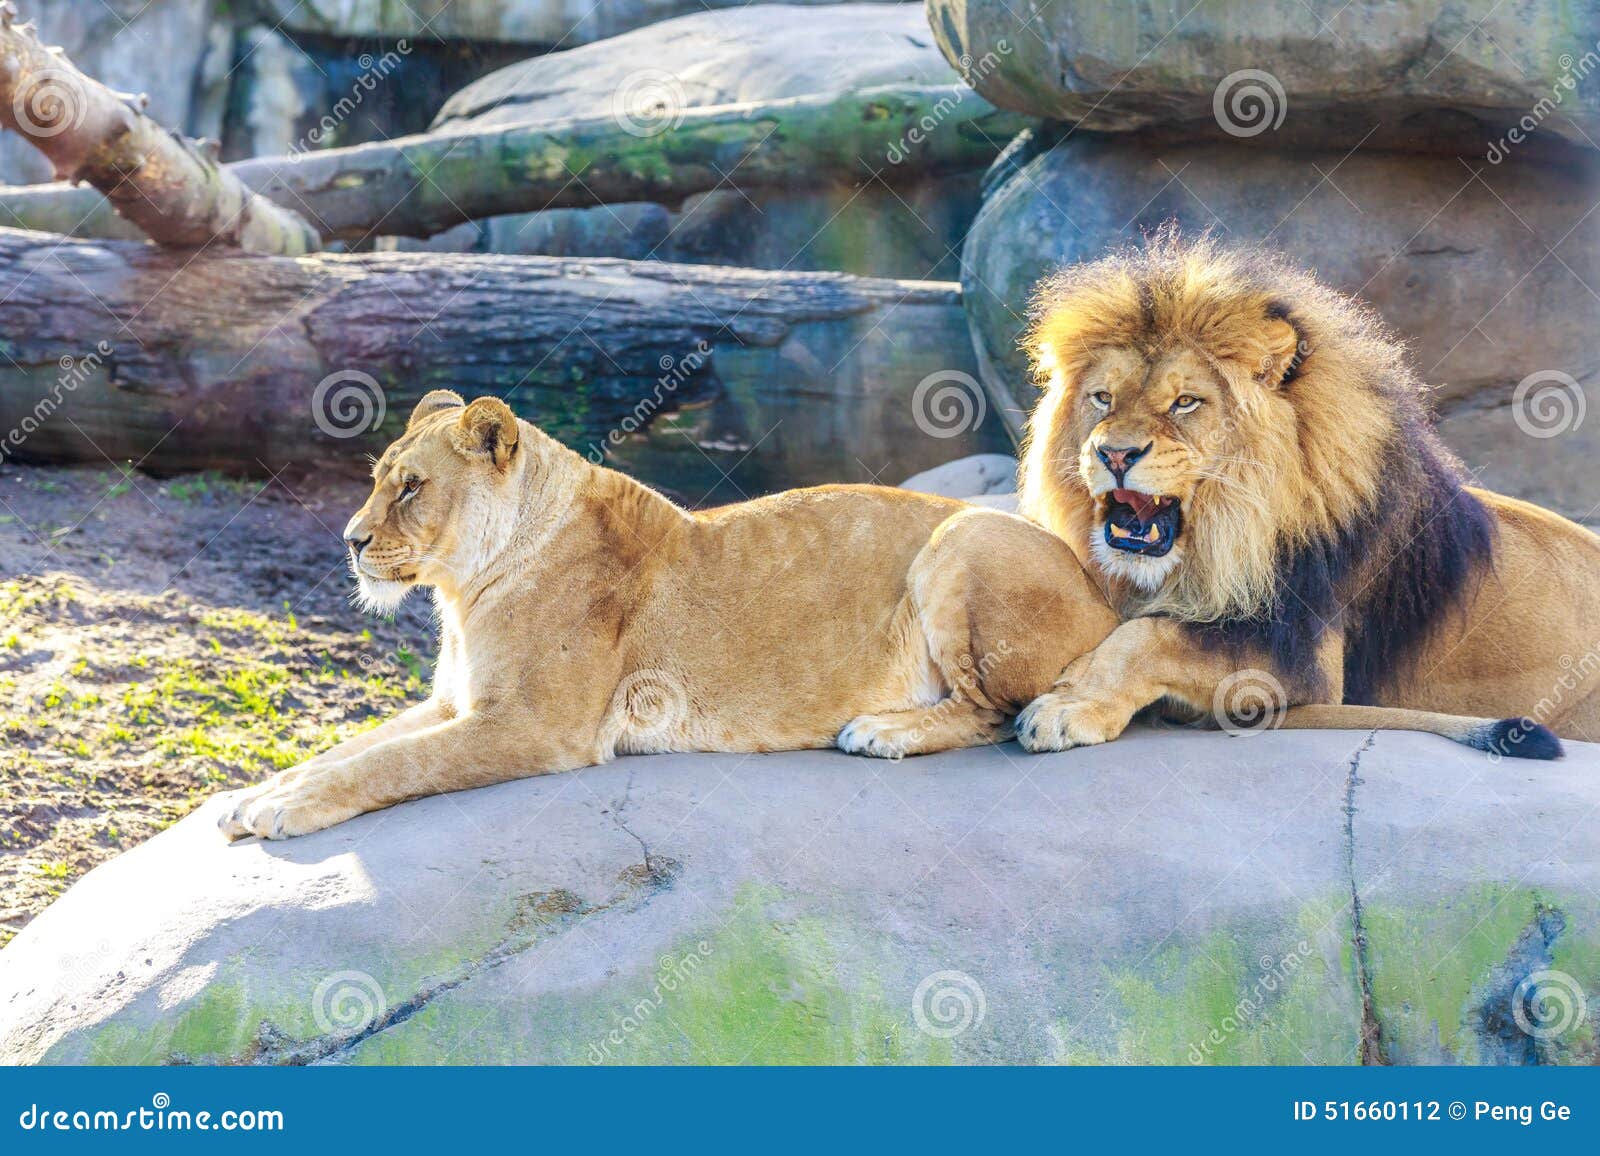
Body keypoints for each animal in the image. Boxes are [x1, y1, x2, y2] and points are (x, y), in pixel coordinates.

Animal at [218, 389, 1560, 840]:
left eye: (408, 486)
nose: (349, 541)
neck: (463, 584)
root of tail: (1106, 588)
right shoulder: (455, 700)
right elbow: (353, 745)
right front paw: (252, 793)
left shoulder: (533, 725)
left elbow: (380, 771)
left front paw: (275, 813)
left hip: (957, 541)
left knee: (1005, 710)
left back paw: (889, 728)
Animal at [1012, 228, 1599, 755]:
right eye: (1103, 398)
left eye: (1185, 402)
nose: (1114, 455)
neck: (1228, 536)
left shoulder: (1304, 658)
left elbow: (1151, 636)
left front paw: (1070, 707)